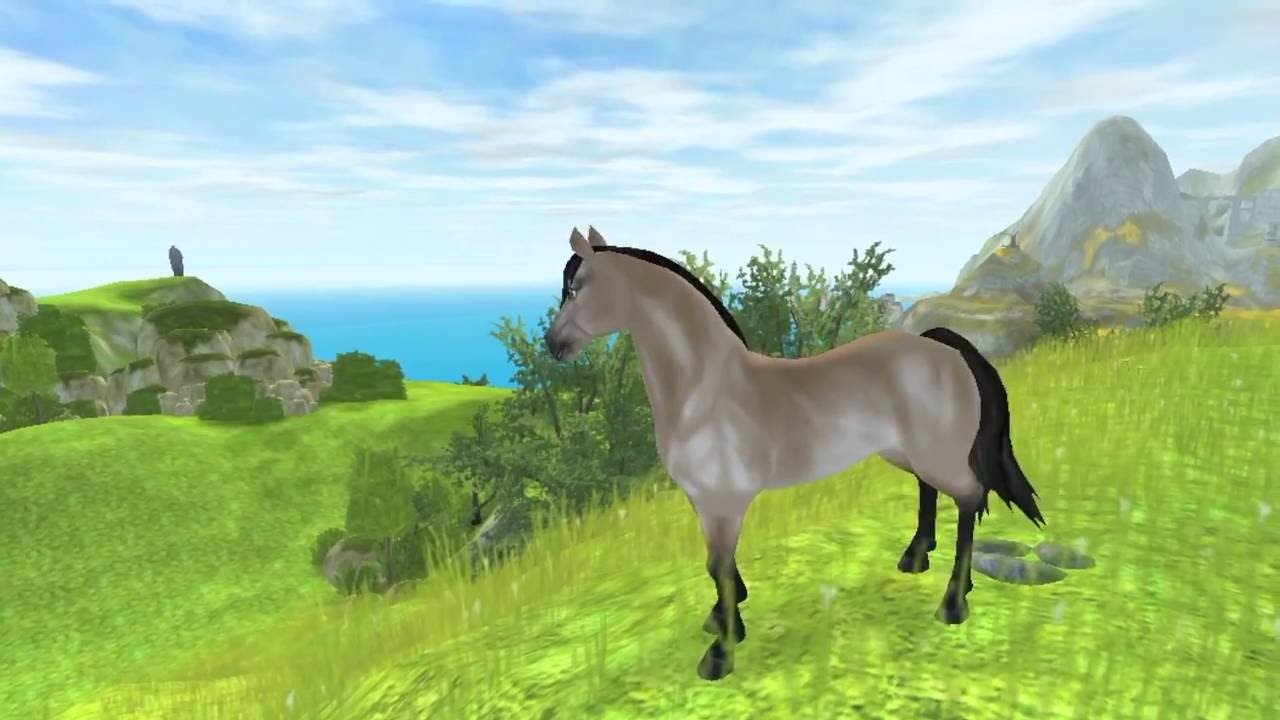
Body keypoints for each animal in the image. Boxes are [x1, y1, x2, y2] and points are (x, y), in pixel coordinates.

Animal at [544, 226, 1045, 681]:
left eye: (576, 287)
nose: (554, 345)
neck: (706, 391)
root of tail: (943, 346)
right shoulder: (705, 502)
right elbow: (718, 566)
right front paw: (723, 617)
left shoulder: (724, 502)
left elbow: (718, 565)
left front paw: (721, 652)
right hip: (909, 453)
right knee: (930, 491)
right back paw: (915, 557)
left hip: (940, 457)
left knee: (970, 500)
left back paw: (953, 603)